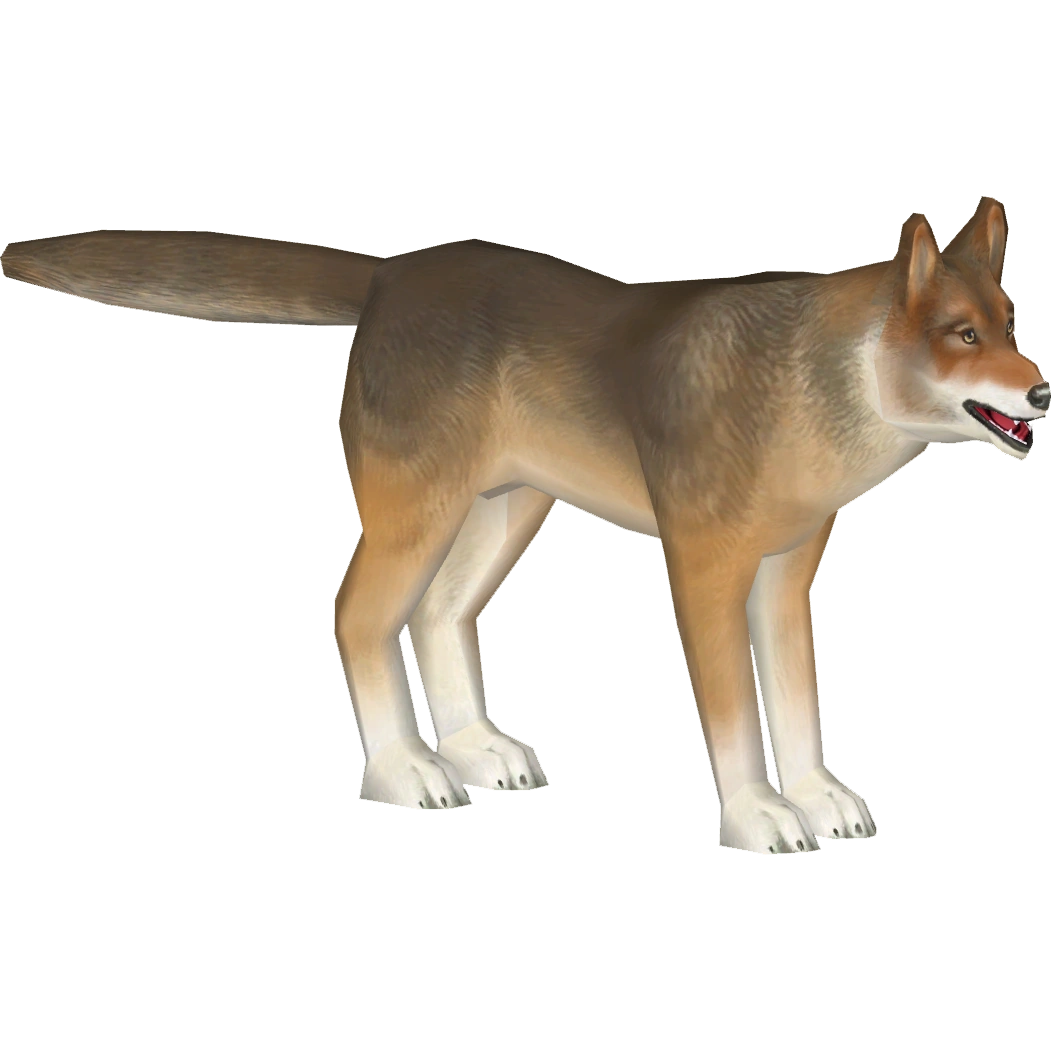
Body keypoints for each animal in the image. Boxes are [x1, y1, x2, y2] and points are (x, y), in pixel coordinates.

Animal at [2, 197, 1041, 855]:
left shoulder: (786, 574)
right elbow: (738, 718)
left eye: (1008, 322)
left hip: (505, 510)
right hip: (419, 516)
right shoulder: (702, 571)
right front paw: (755, 817)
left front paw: (820, 796)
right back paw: (404, 771)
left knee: (433, 617)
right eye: (960, 336)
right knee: (357, 616)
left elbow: (796, 701)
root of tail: (393, 274)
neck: (813, 383)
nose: (1040, 390)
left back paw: (474, 749)